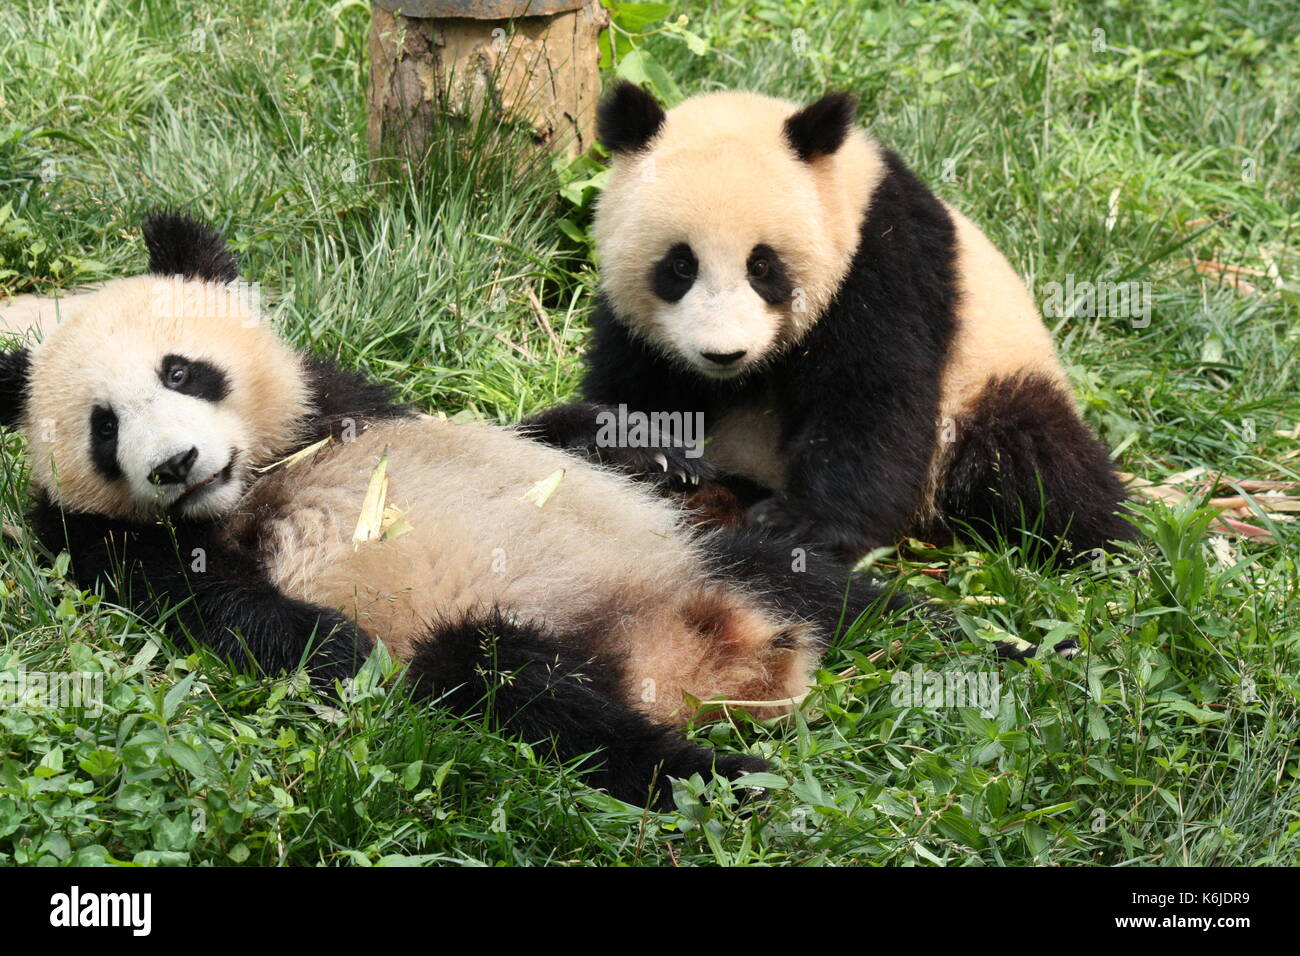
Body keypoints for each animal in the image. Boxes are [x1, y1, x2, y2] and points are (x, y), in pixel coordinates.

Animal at [0, 212, 899, 809]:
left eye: (182, 370)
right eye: (104, 426)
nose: (177, 465)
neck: (250, 483)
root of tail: (710, 659)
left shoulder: (342, 403)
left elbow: (524, 435)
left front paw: (656, 454)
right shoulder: (99, 539)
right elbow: (207, 602)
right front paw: (340, 648)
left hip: (688, 553)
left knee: (814, 583)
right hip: (494, 640)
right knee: (531, 699)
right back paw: (726, 779)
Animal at [530, 83, 1135, 563]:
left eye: (762, 266)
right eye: (680, 265)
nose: (723, 354)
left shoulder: (882, 259)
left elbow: (871, 397)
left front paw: (803, 526)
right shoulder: (637, 325)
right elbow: (629, 385)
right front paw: (640, 447)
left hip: (987, 381)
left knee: (1035, 461)